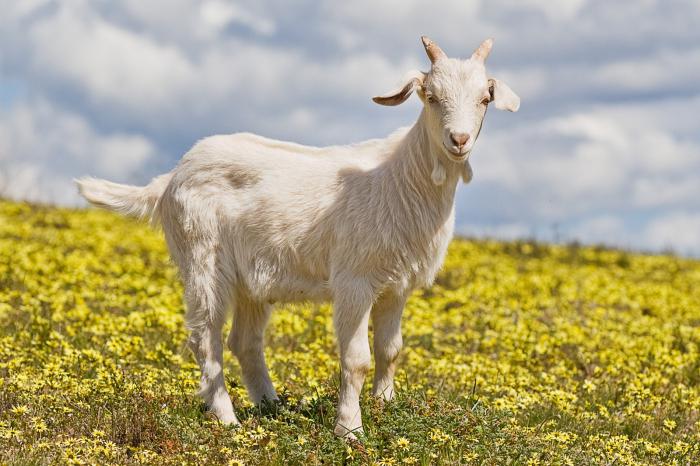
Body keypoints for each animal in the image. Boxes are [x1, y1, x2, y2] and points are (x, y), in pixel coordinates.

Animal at [76, 37, 516, 440]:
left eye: (484, 99)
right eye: (431, 96)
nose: (459, 140)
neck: (400, 178)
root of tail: (170, 179)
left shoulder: (397, 286)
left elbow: (390, 351)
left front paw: (384, 407)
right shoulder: (354, 281)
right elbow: (356, 358)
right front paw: (350, 429)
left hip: (251, 280)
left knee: (245, 341)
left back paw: (272, 407)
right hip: (202, 257)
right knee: (205, 338)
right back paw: (227, 418)